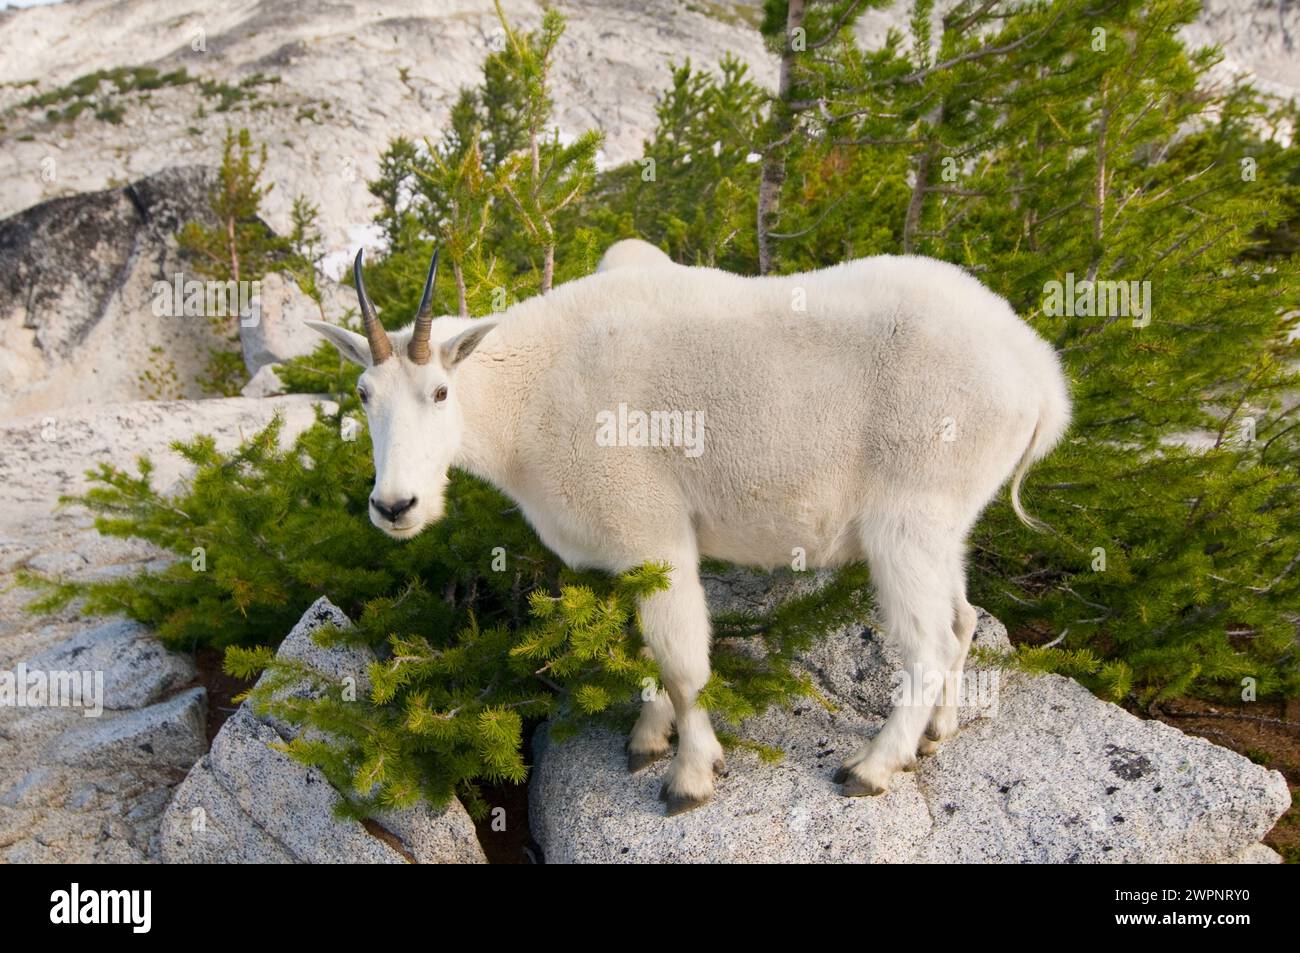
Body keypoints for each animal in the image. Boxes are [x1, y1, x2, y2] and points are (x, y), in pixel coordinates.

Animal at [306, 241, 1071, 815]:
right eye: (363, 394)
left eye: (440, 392)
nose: (395, 506)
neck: (531, 393)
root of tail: (1041, 378)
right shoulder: (625, 551)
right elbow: (638, 646)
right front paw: (647, 739)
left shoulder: (654, 530)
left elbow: (681, 662)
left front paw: (691, 775)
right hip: (948, 524)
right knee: (964, 619)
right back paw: (937, 734)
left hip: (907, 519)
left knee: (928, 643)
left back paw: (872, 766)